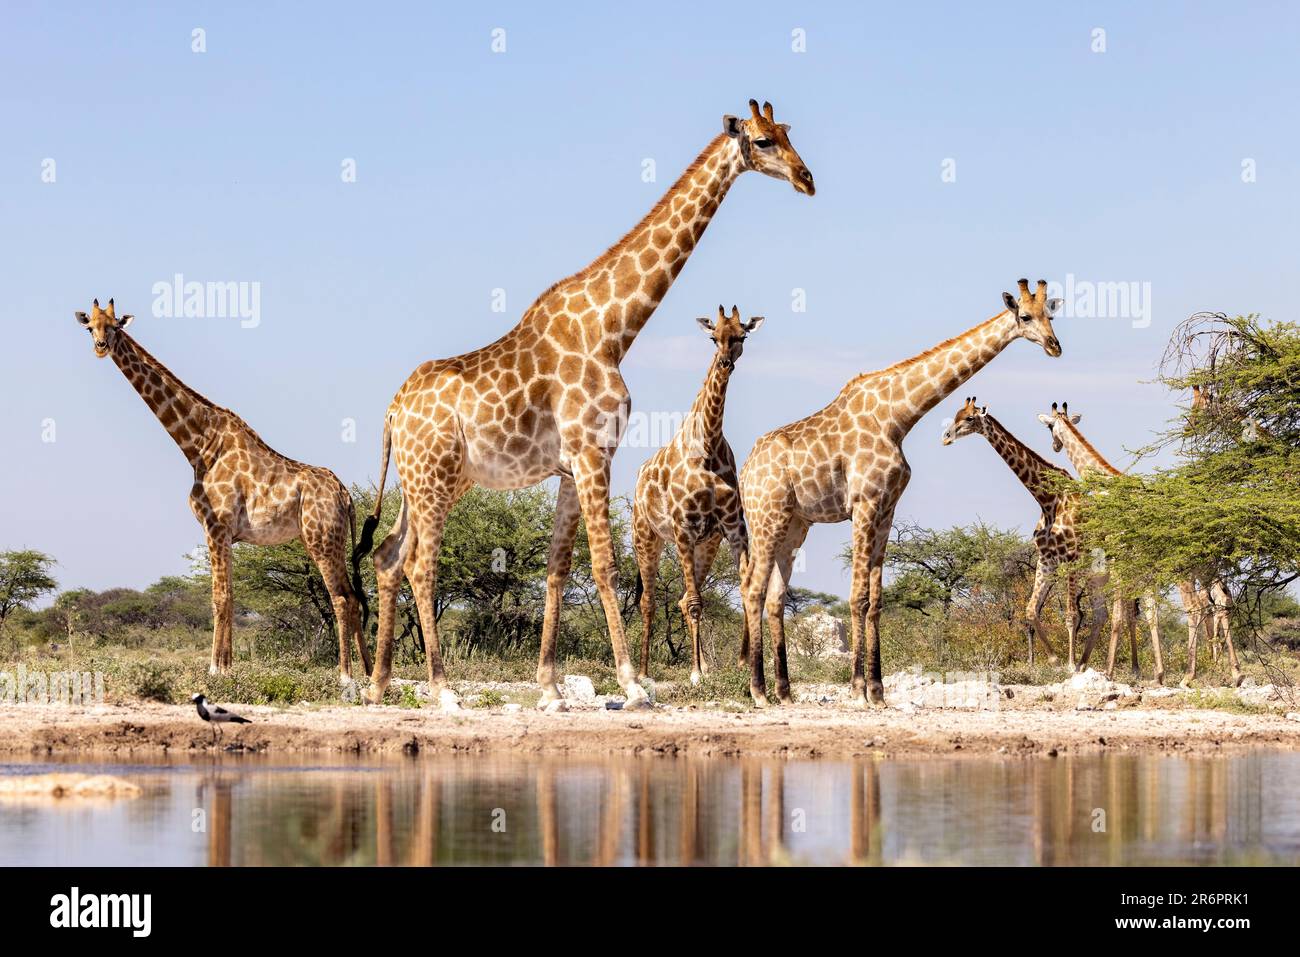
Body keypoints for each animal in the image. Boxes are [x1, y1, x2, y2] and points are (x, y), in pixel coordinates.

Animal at [76, 298, 371, 681]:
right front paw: (228, 667)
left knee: (342, 598)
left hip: (321, 538)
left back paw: (345, 674)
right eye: (90, 327)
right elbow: (228, 596)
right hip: (325, 540)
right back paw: (368, 671)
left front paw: (215, 668)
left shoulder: (215, 526)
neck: (199, 444)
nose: (100, 346)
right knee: (354, 595)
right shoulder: (227, 533)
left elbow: (219, 598)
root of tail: (346, 496)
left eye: (115, 327)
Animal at [632, 305, 762, 684]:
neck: (707, 445)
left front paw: (743, 663)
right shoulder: (684, 528)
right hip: (647, 537)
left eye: (741, 336)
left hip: (708, 543)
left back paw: (703, 664)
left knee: (681, 597)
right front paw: (694, 674)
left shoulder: (733, 527)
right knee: (650, 601)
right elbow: (693, 603)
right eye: (713, 337)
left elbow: (745, 589)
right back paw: (644, 672)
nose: (725, 362)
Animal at [739, 279, 1064, 708]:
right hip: (767, 516)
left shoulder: (887, 508)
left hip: (795, 523)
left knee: (775, 595)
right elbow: (857, 596)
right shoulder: (863, 504)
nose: (1055, 346)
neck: (898, 417)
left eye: (1051, 315)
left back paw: (784, 691)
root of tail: (745, 472)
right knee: (753, 589)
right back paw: (758, 691)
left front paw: (877, 690)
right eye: (1025, 316)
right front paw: (858, 688)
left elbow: (876, 600)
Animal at [941, 397, 1109, 669]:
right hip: (1096, 571)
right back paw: (1087, 664)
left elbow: (1071, 615)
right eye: (955, 415)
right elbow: (1031, 610)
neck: (1048, 500)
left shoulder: (1070, 558)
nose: (945, 437)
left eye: (969, 418)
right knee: (1102, 614)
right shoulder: (1047, 559)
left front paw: (1070, 665)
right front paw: (1055, 660)